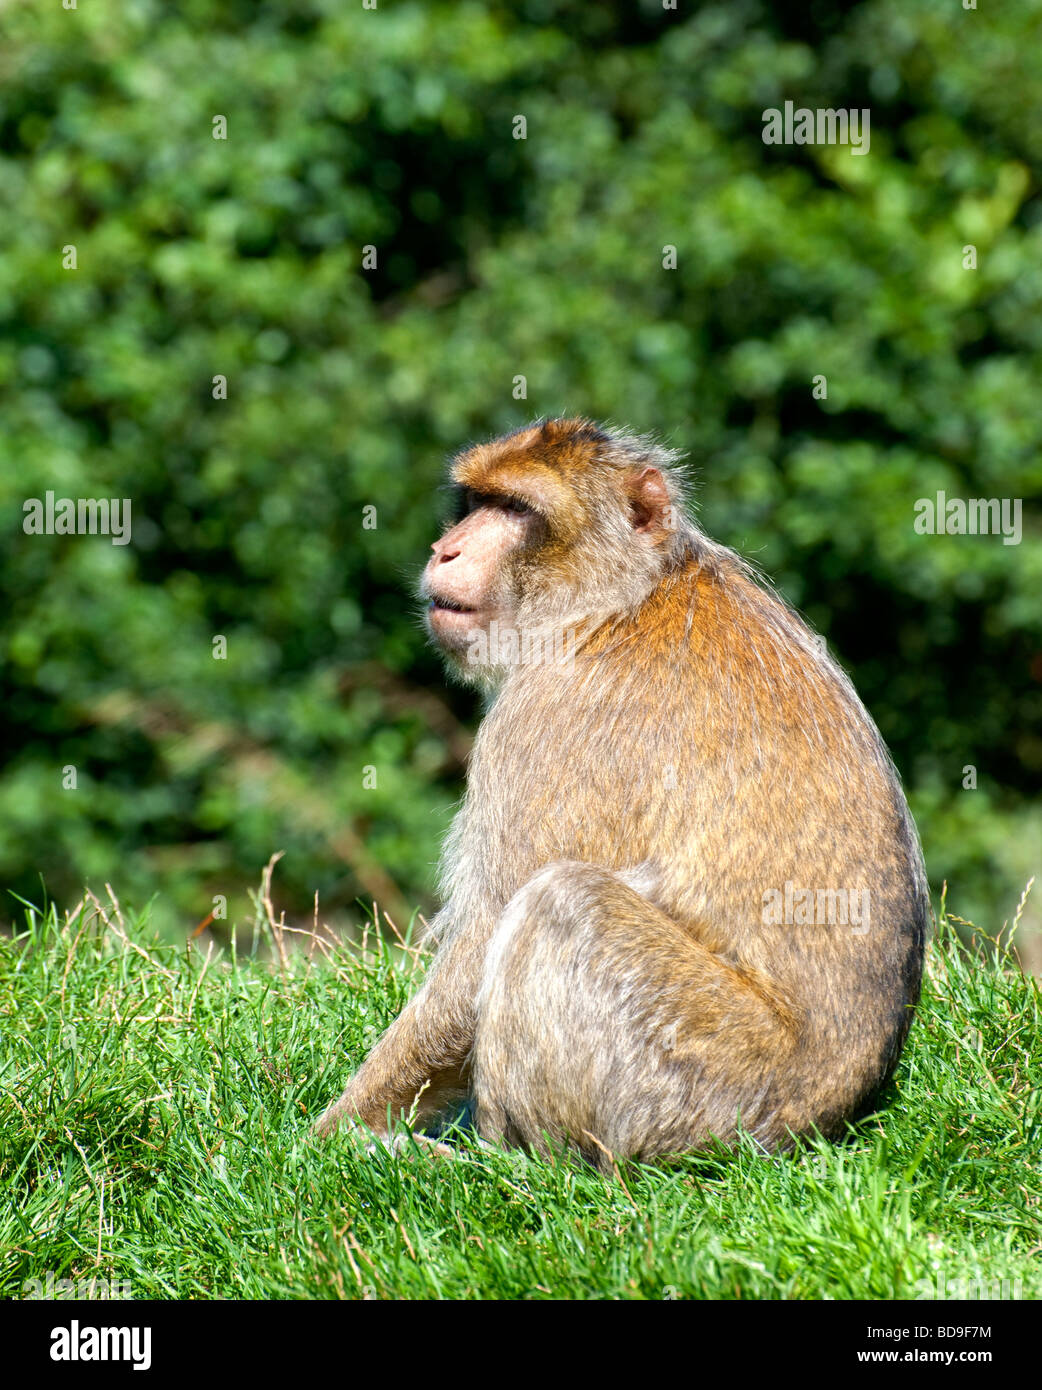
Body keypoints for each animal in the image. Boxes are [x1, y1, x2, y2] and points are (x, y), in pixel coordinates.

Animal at [315, 417, 928, 1170]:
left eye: (514, 510)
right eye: (476, 502)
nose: (445, 550)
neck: (619, 598)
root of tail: (807, 1127)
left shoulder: (549, 718)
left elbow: (487, 927)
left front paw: (331, 1134)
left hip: (691, 1085)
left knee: (562, 899)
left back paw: (513, 1164)